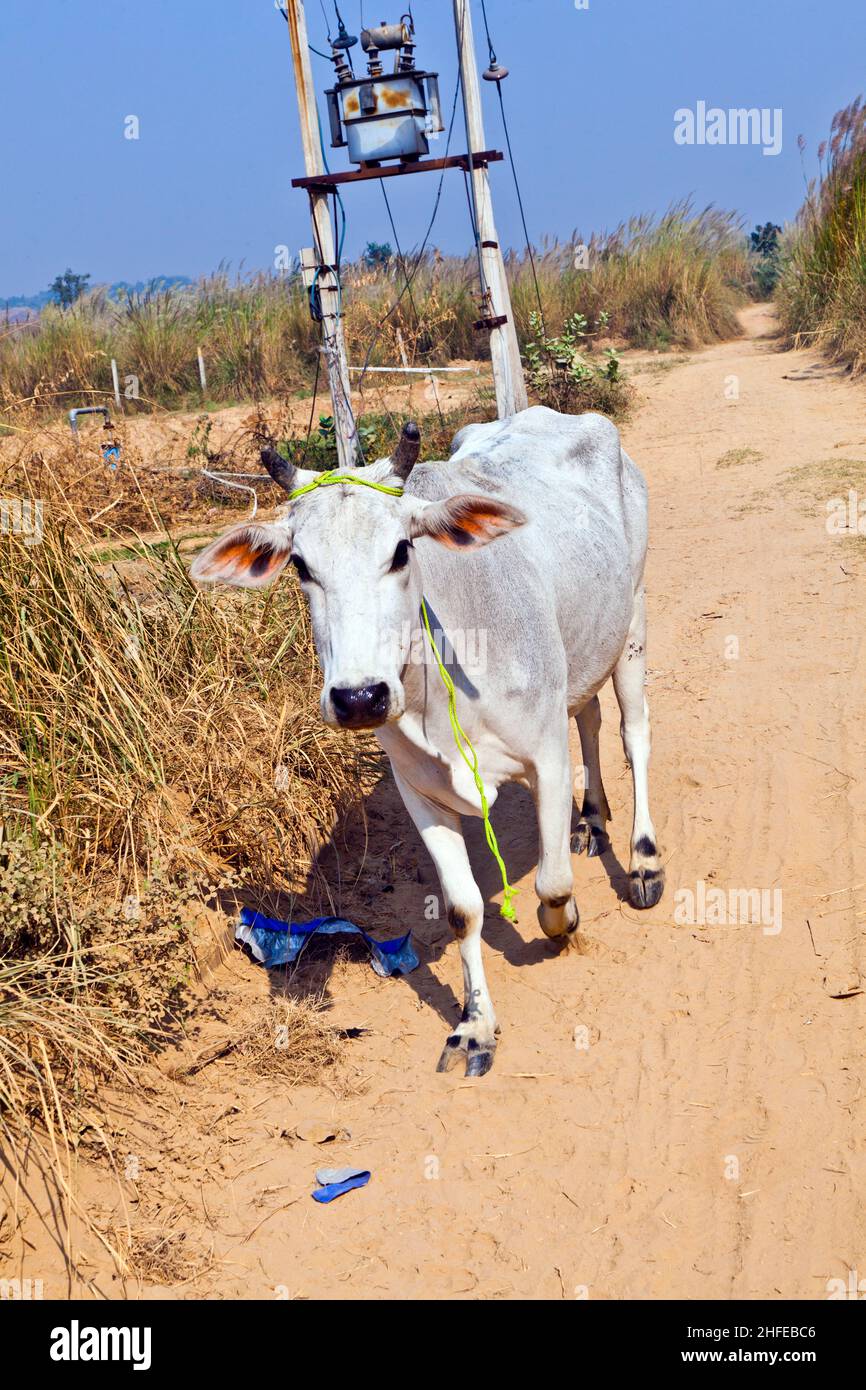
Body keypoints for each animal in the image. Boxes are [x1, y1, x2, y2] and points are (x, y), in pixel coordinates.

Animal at [190, 406, 664, 1076]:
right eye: (302, 567)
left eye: (400, 550)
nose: (360, 697)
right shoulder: (420, 792)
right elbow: (464, 909)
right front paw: (475, 1026)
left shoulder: (545, 756)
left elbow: (552, 885)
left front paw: (564, 922)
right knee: (591, 718)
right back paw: (591, 822)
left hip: (634, 617)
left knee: (633, 733)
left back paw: (643, 858)